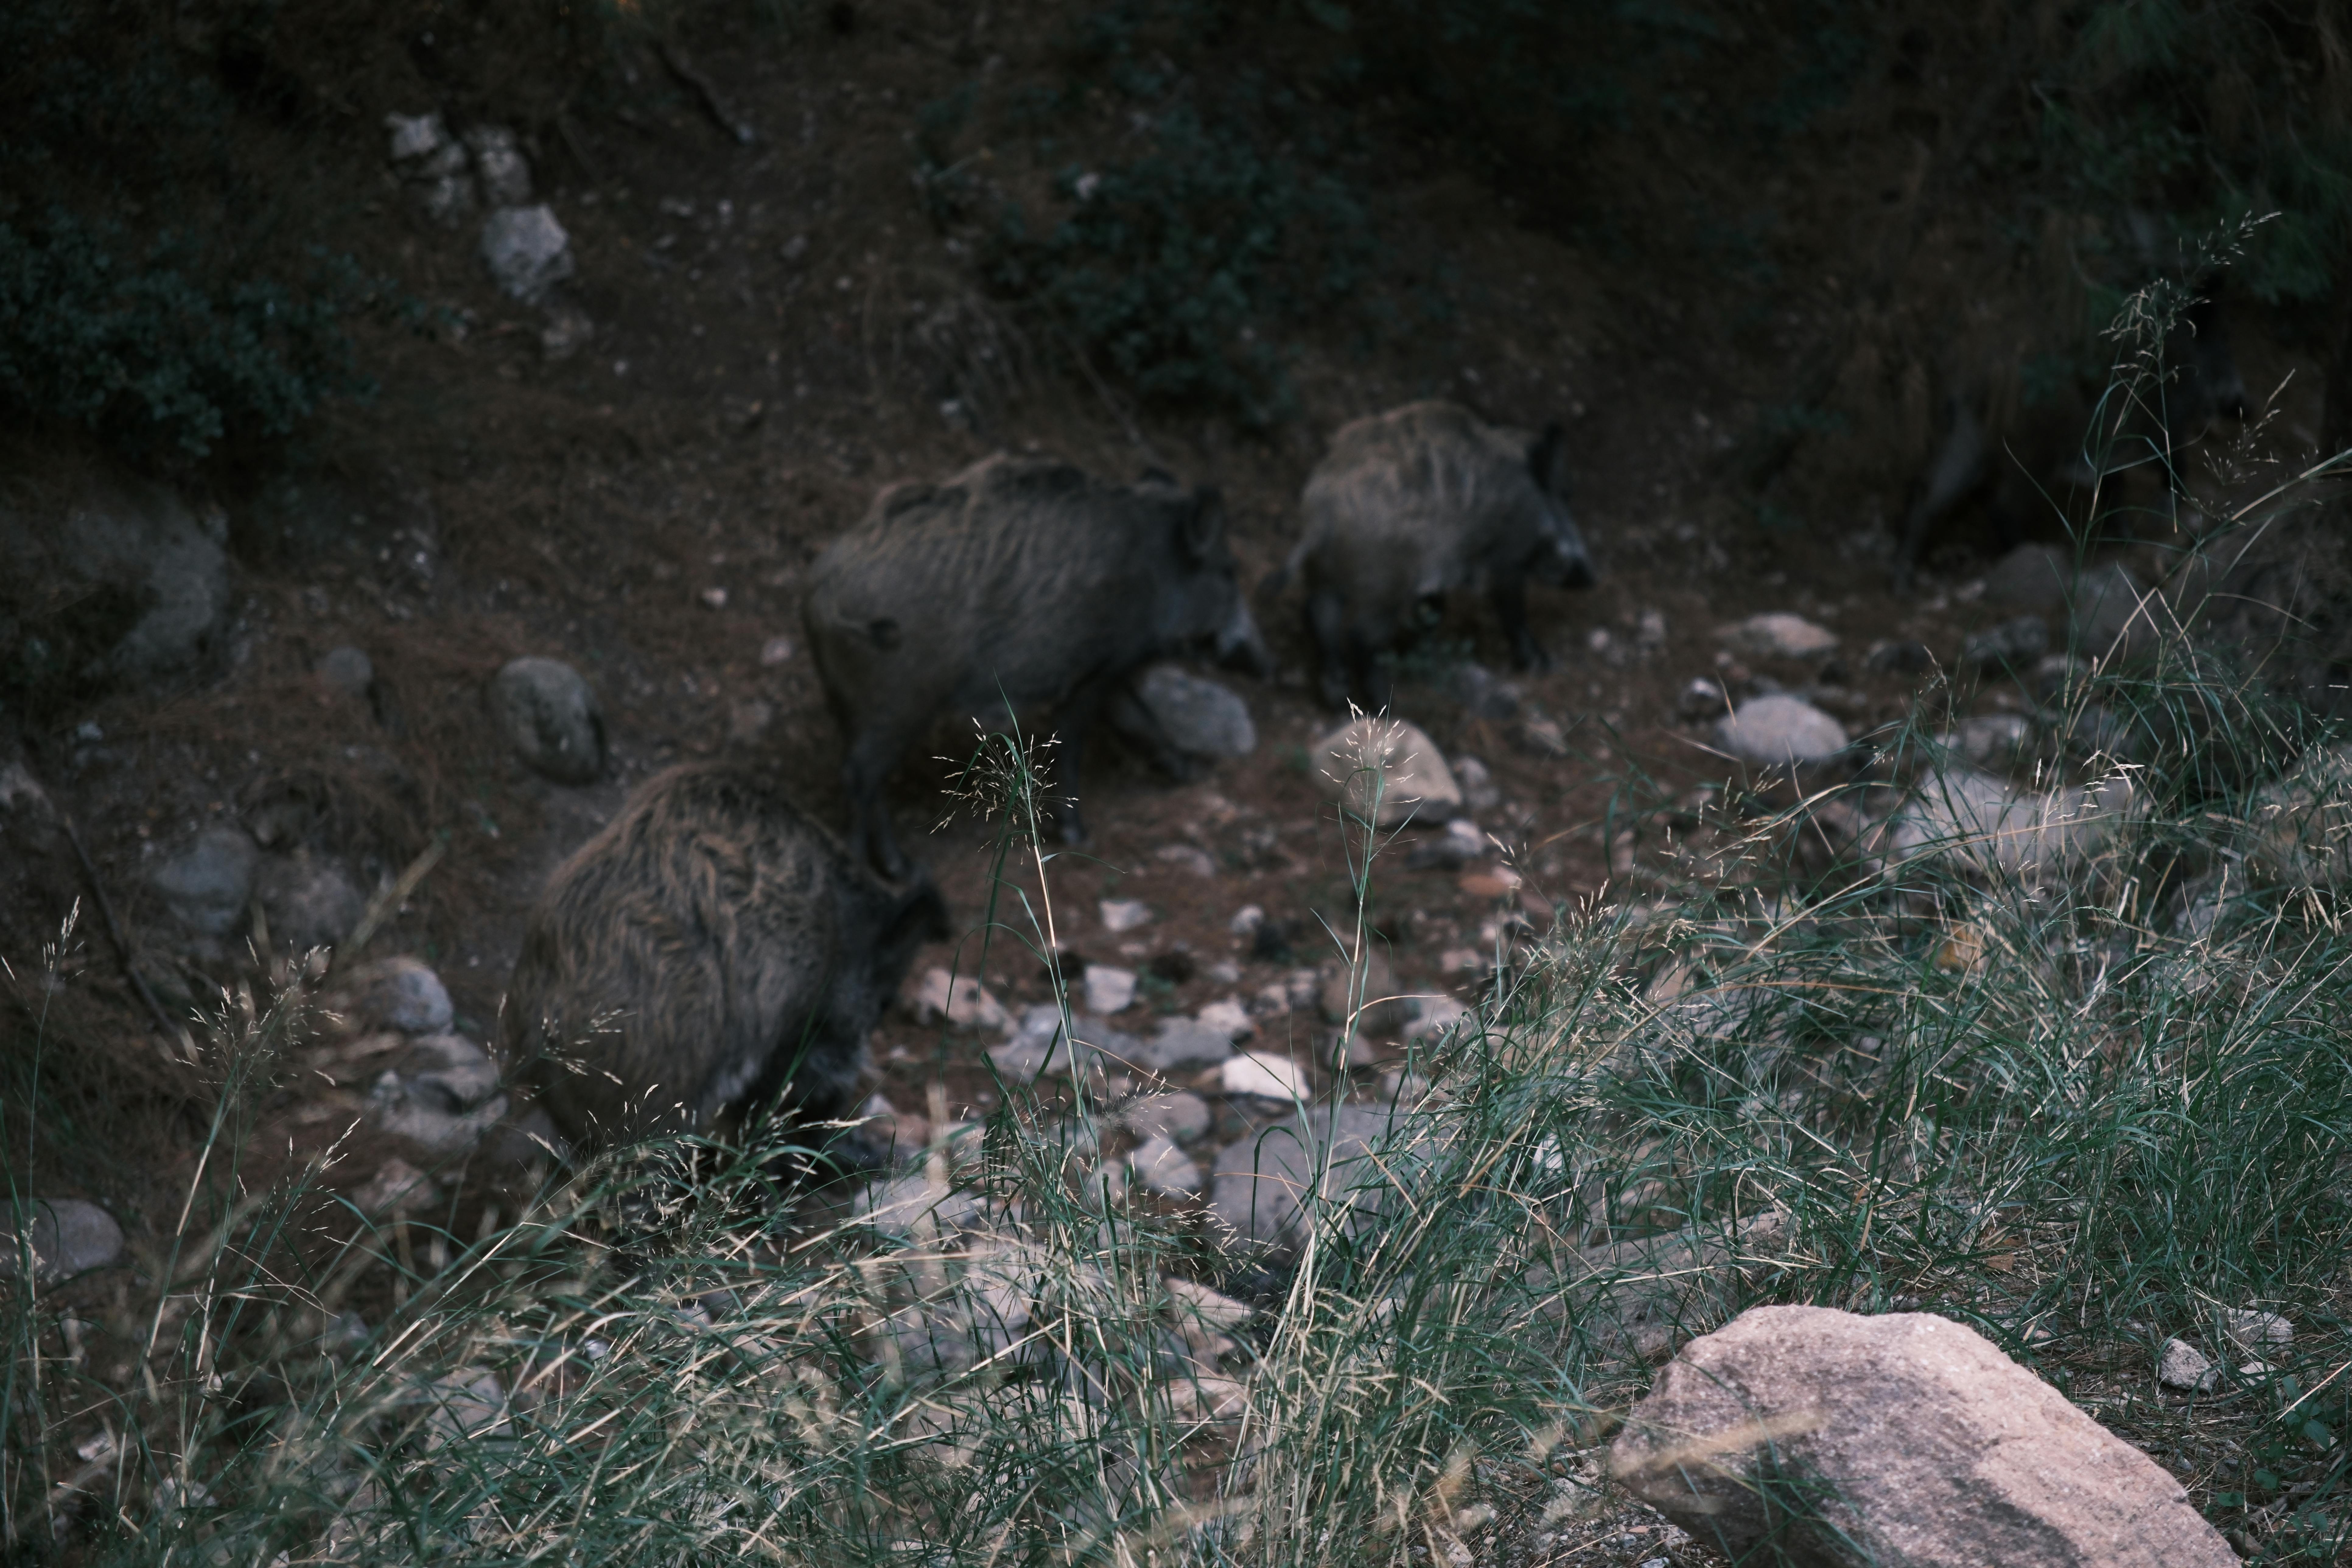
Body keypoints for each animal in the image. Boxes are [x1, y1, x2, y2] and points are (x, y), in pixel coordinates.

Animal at [803, 452, 1270, 877]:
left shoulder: (1109, 673)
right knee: (859, 776)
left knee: (869, 780)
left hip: (852, 700)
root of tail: (819, 589)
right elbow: (1077, 742)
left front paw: (1192, 772)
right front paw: (1079, 835)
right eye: (1228, 571)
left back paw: (901, 869)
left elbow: (1143, 722)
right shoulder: (1093, 673)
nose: (1269, 665)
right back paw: (869, 871)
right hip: (901, 698)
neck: (1157, 577)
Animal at [1265, 400, 1595, 712]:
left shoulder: (1438, 576)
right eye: (1565, 493)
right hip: (1386, 583)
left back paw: (1335, 698)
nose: (1591, 577)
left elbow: (1432, 614)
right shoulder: (1505, 561)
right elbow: (1513, 614)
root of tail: (1323, 510)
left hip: (1324, 571)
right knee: (1359, 636)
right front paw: (1545, 663)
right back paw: (1386, 704)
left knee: (1319, 614)